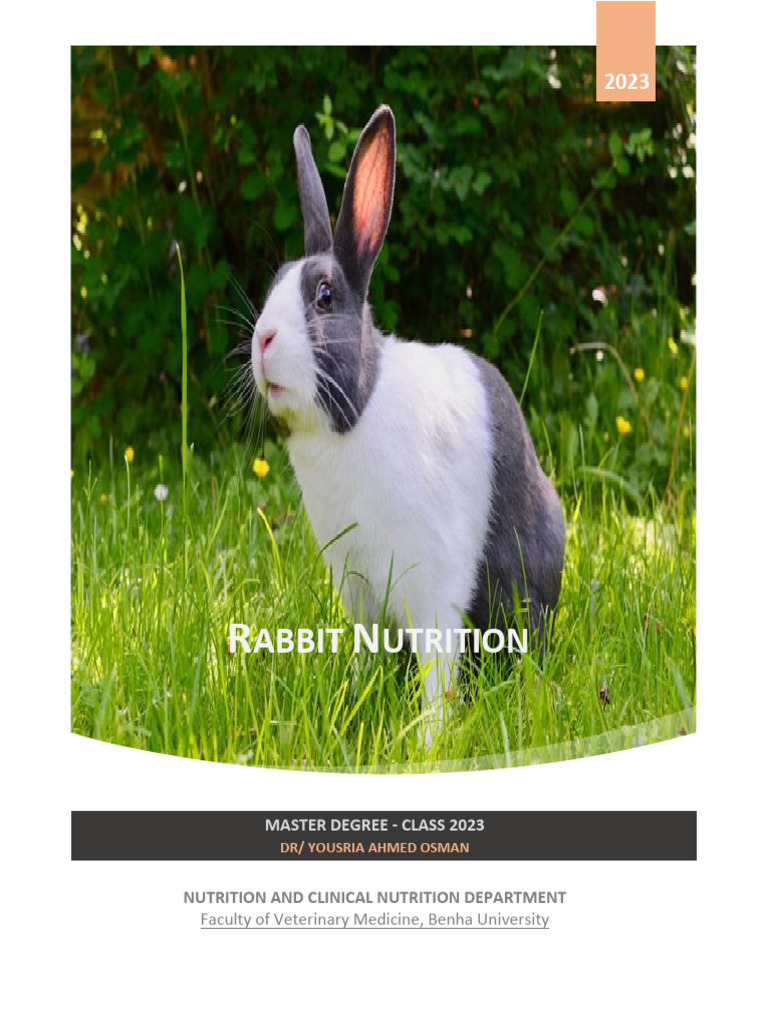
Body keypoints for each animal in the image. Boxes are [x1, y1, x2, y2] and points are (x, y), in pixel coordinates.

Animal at [251, 105, 565, 743]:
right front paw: (350, 701)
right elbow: (366, 654)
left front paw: (428, 740)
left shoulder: (432, 586)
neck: (355, 416)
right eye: (273, 287)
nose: (262, 340)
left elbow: (437, 670)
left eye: (324, 297)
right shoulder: (356, 587)